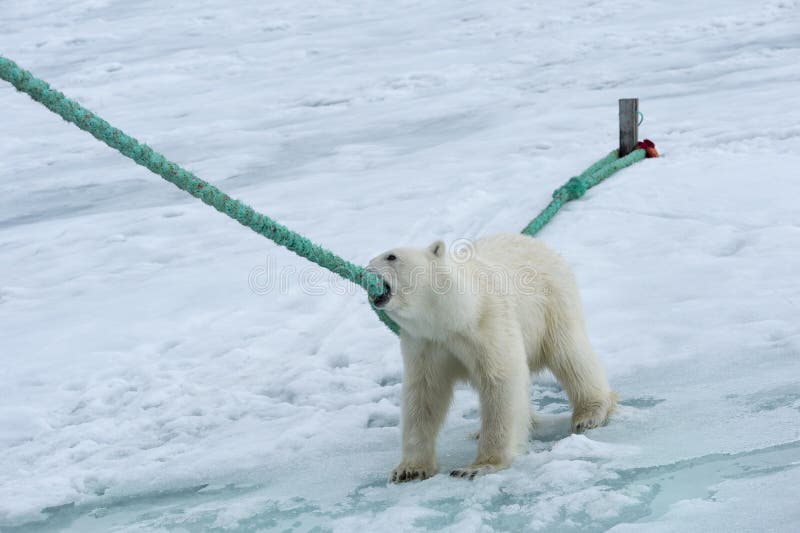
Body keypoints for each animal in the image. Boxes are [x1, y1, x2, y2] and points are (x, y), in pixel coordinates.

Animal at [366, 233, 616, 482]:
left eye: (391, 256)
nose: (366, 270)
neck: (453, 317)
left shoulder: (487, 324)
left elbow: (501, 380)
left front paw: (477, 466)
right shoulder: (425, 343)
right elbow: (423, 395)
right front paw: (409, 469)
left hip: (553, 302)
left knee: (569, 353)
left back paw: (589, 413)